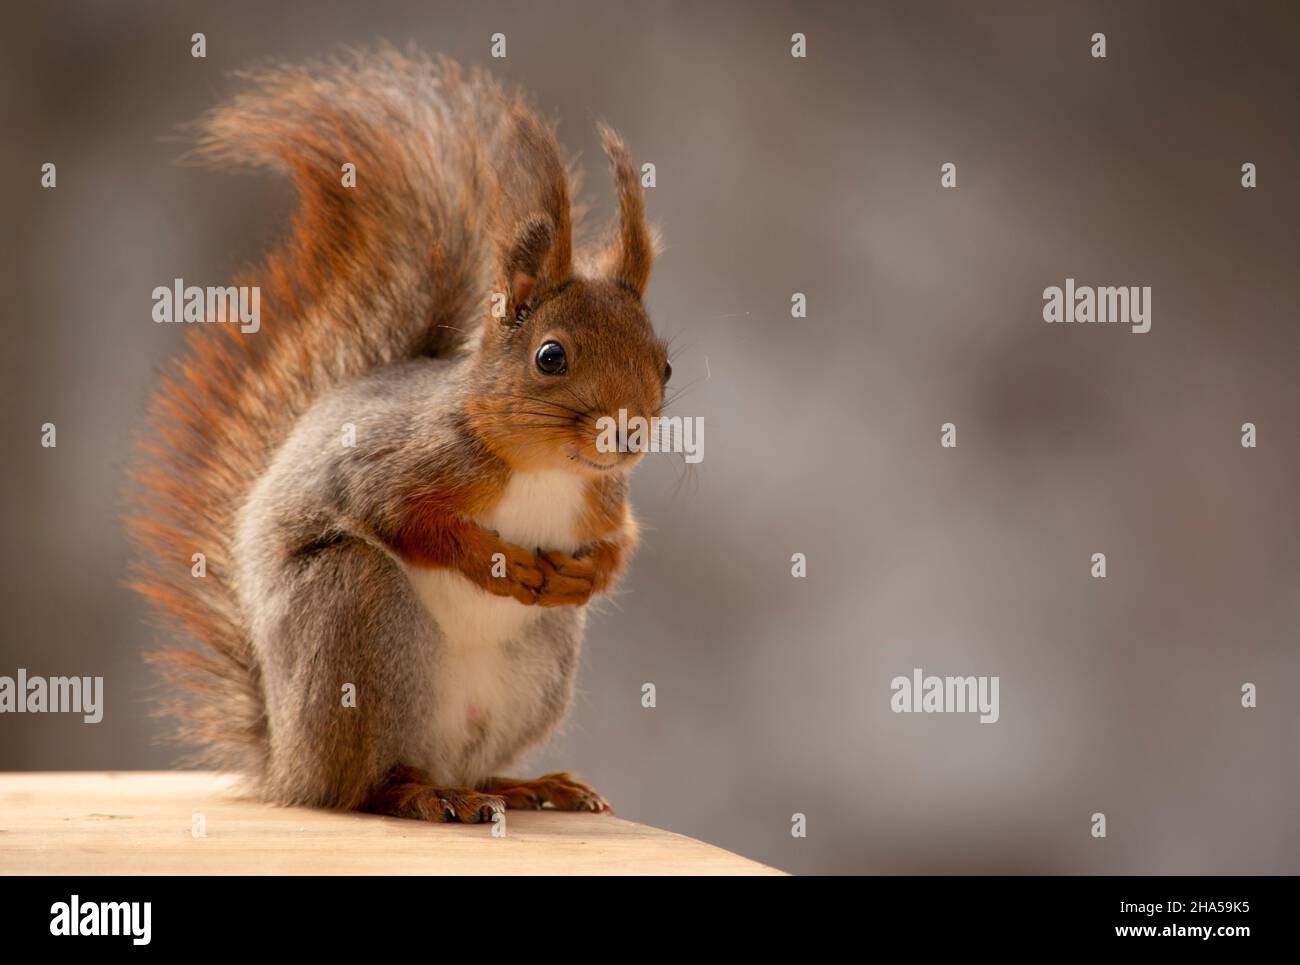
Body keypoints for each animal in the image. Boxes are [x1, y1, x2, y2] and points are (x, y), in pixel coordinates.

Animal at [126, 49, 668, 823]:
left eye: (665, 363)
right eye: (550, 356)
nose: (625, 437)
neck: (548, 470)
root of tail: (285, 760)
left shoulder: (603, 499)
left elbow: (619, 543)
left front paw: (586, 575)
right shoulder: (394, 464)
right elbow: (401, 517)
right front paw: (493, 562)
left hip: (541, 658)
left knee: (469, 764)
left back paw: (521, 785)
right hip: (350, 612)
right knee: (357, 787)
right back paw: (414, 791)